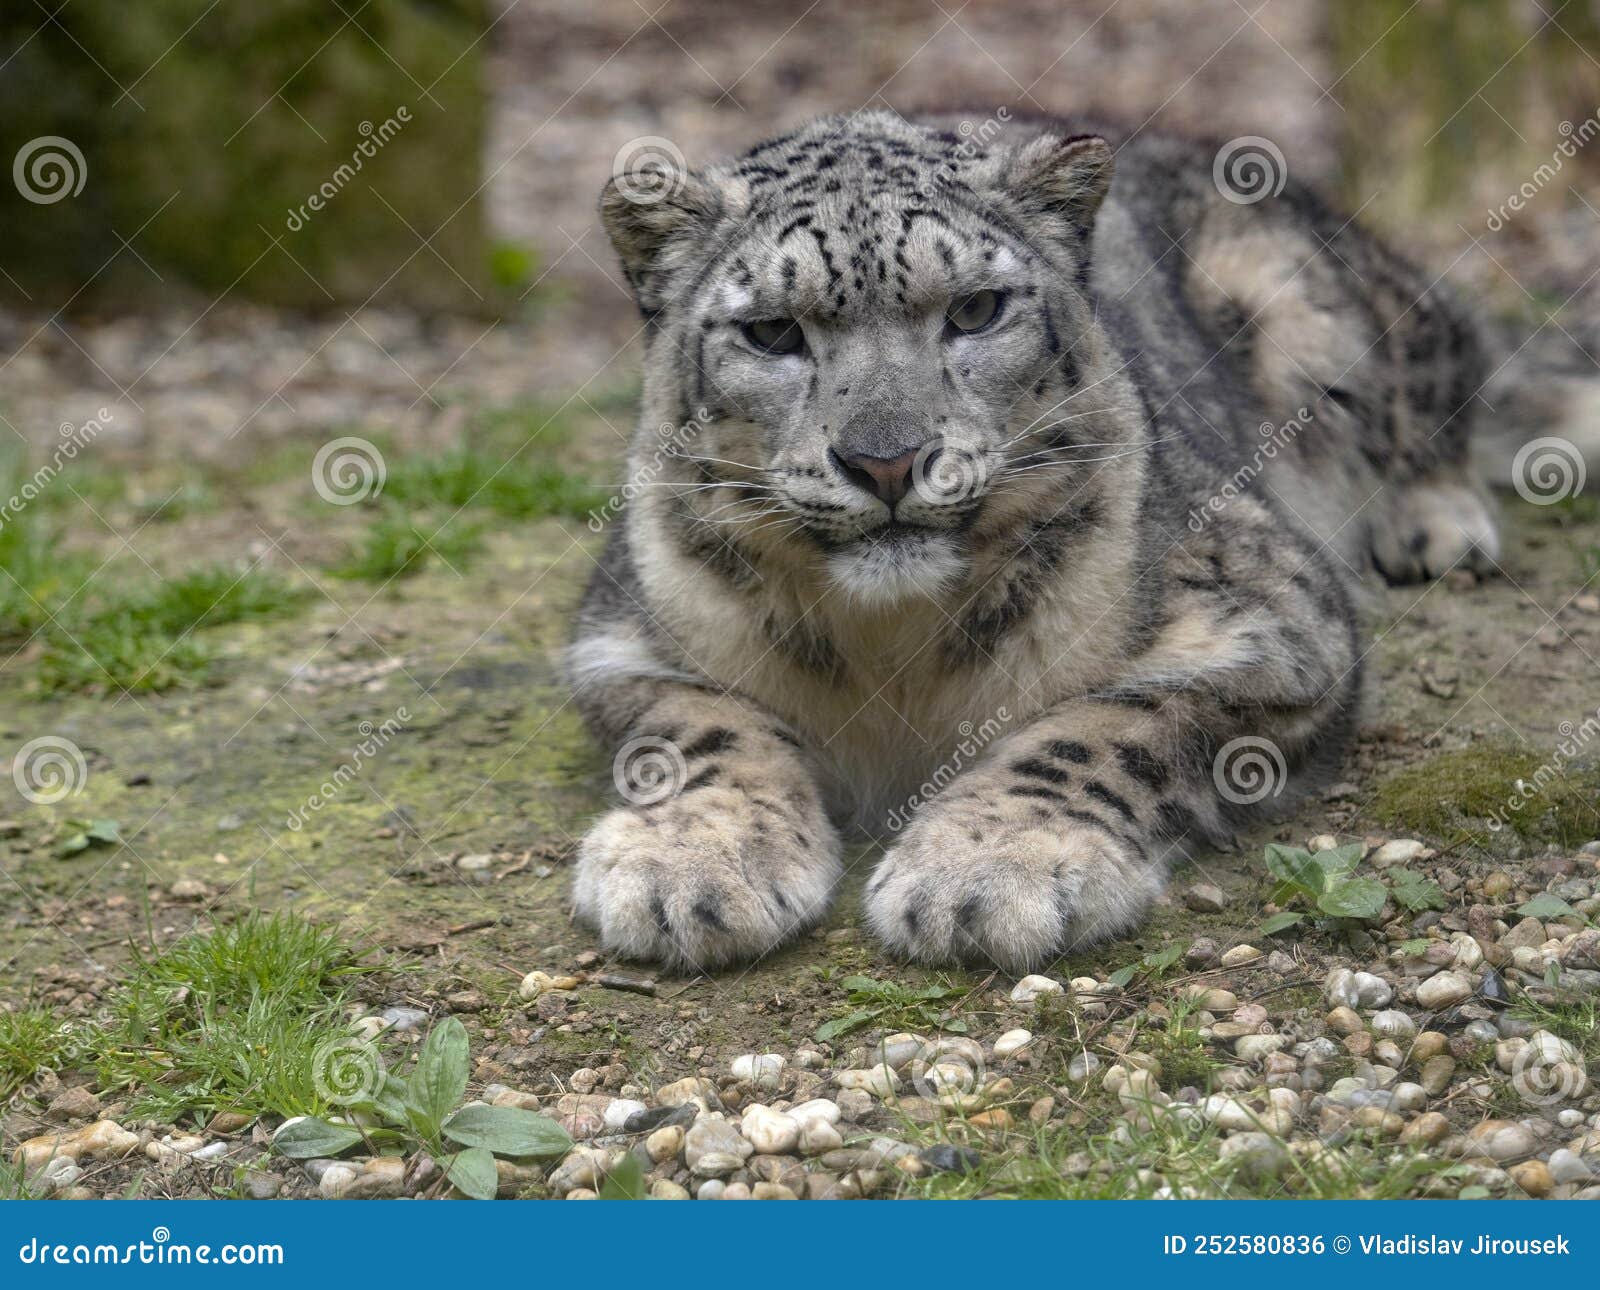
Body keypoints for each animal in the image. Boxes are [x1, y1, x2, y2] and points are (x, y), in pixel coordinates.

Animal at [564, 108, 1595, 977]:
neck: (891, 657)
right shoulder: (623, 634)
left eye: (976, 309)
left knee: (1447, 382)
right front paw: (690, 862)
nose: (888, 461)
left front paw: (989, 869)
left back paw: (1437, 524)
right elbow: (704, 724)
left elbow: (1108, 723)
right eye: (773, 331)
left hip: (1331, 312)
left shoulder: (1277, 621)